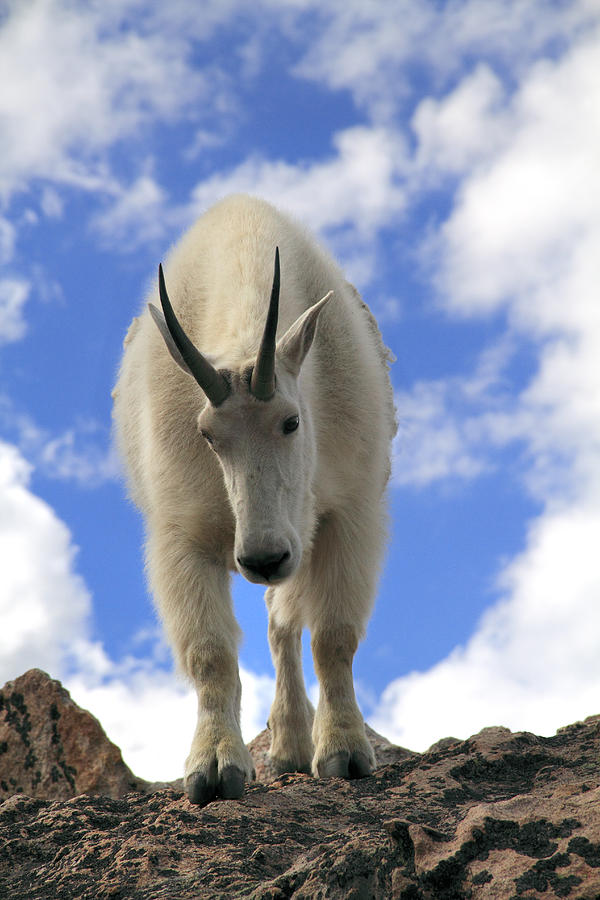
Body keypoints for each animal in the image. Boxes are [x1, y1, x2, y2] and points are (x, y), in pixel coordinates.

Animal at [113, 195, 395, 805]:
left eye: (291, 421)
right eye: (206, 435)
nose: (263, 559)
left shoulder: (350, 513)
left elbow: (334, 638)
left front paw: (344, 754)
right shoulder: (182, 532)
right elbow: (209, 652)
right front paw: (214, 769)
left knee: (284, 622)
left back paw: (293, 746)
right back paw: (284, 748)